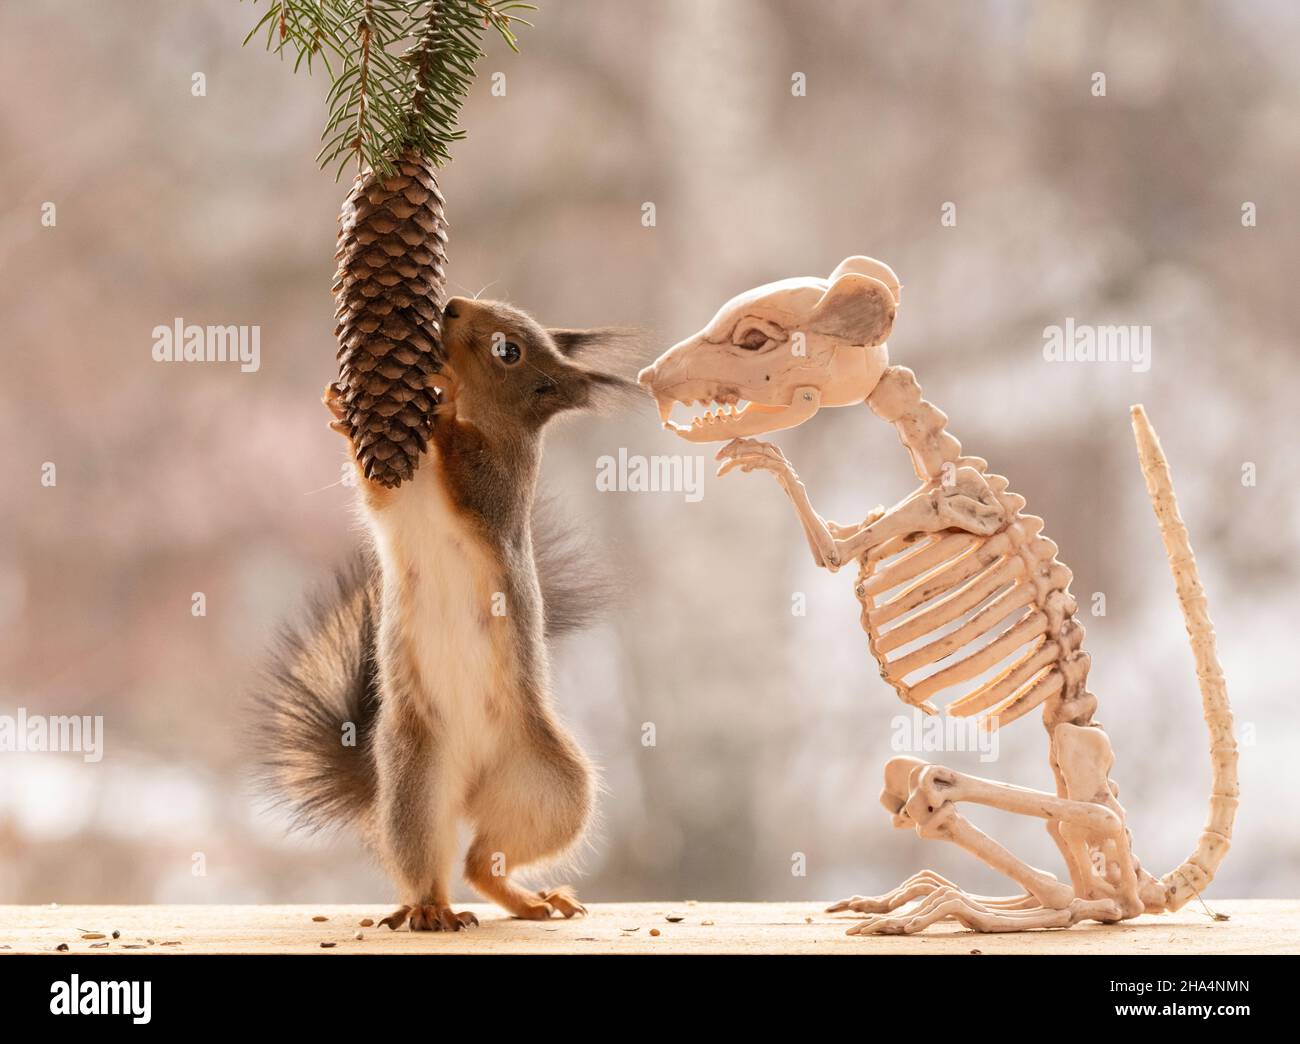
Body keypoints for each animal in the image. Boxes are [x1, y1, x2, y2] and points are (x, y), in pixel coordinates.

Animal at [254, 296, 633, 931]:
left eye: (508, 349)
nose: (451, 306)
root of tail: (468, 789)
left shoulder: (498, 491)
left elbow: (469, 472)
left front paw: (443, 398)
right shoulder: (396, 493)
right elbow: (375, 490)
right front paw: (342, 408)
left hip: (553, 791)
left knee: (485, 861)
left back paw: (530, 900)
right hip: (417, 781)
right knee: (436, 863)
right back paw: (432, 909)